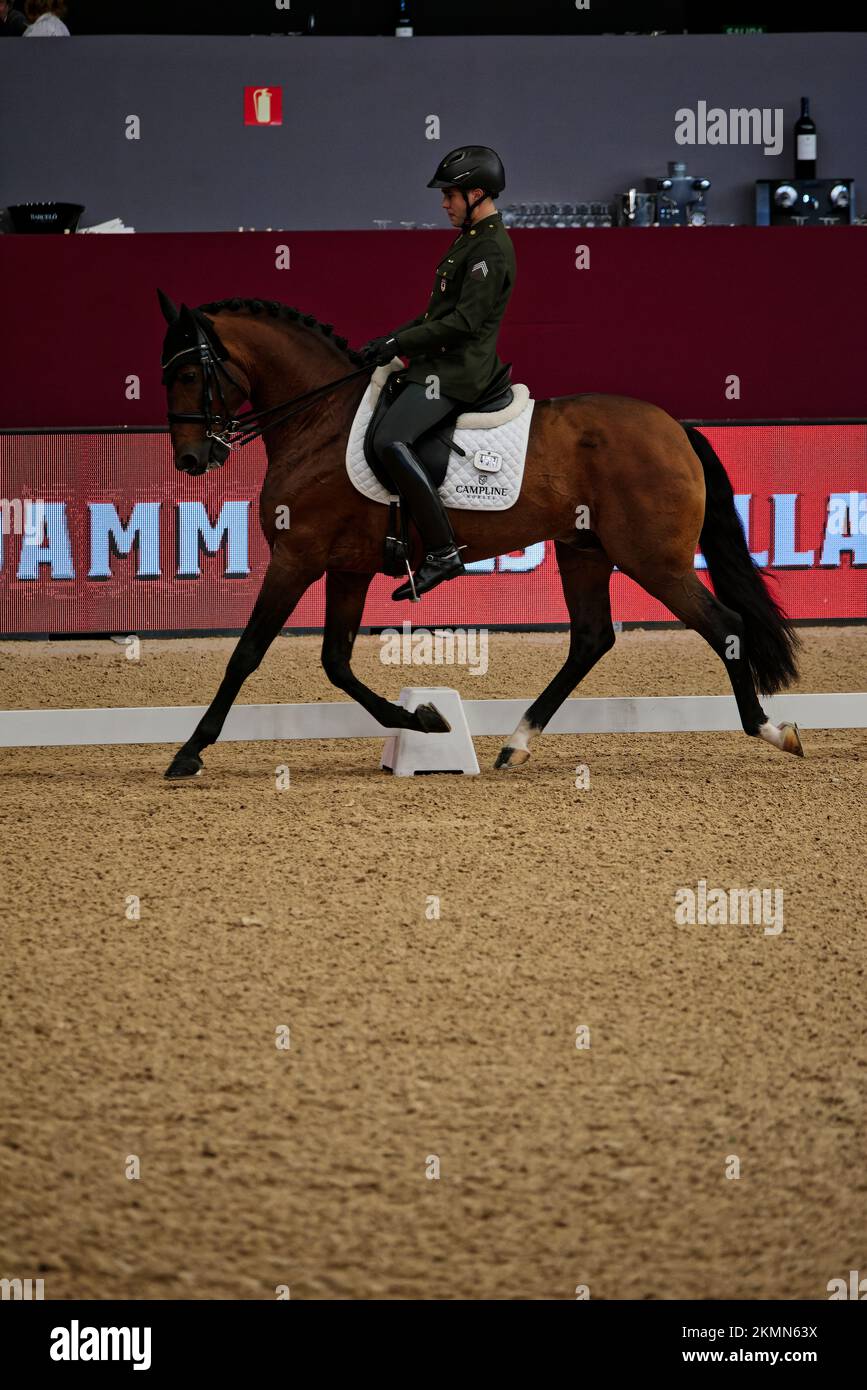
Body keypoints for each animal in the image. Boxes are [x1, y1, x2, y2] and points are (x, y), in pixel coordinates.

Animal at [157, 290, 803, 780]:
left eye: (188, 372)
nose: (191, 459)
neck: (322, 421)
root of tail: (674, 426)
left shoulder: (297, 556)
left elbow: (247, 653)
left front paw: (189, 751)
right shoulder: (346, 566)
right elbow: (336, 663)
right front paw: (425, 720)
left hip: (653, 560)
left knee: (725, 625)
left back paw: (772, 730)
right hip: (584, 551)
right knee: (591, 639)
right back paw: (516, 744)